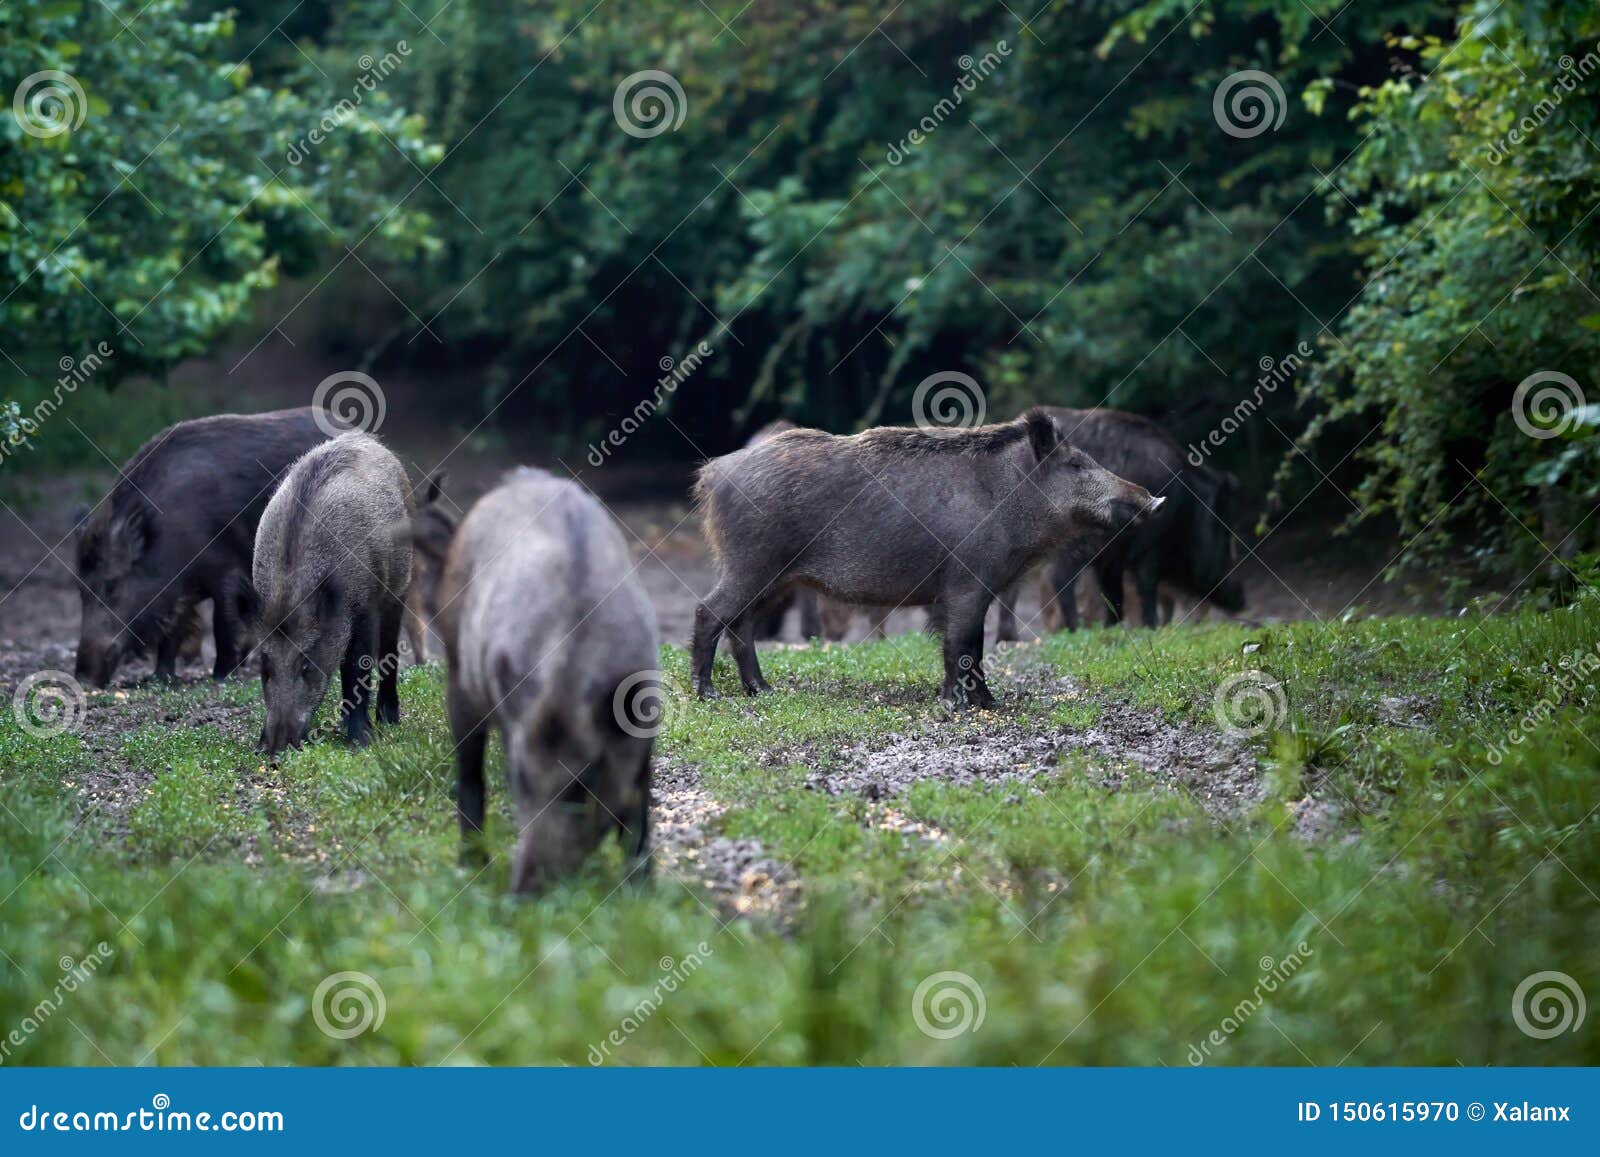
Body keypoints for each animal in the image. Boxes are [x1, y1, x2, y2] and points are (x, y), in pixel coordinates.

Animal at [72, 407, 340, 687]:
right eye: (80, 589)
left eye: (111, 585)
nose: (83, 678)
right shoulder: (179, 591)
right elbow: (174, 631)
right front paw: (159, 678)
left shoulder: (228, 571)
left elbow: (222, 623)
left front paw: (221, 675)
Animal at [248, 432, 413, 754]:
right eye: (264, 667)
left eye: (306, 664)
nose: (274, 750)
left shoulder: (364, 608)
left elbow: (356, 669)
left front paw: (361, 741)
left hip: (400, 588)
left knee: (389, 650)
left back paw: (388, 720)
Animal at [691, 408, 1164, 707]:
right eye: (1076, 465)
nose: (1153, 499)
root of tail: (712, 473)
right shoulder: (966, 582)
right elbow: (960, 643)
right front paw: (962, 706)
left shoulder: (977, 588)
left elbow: (973, 645)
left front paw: (987, 703)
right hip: (751, 563)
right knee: (709, 612)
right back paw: (708, 695)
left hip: (773, 577)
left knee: (742, 625)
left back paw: (764, 691)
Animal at [994, 407, 1245, 637]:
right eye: (1225, 535)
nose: (1242, 600)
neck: (1185, 508)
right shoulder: (1148, 546)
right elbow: (1146, 585)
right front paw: (1151, 628)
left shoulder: (1112, 556)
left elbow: (1113, 591)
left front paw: (1113, 628)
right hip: (1077, 543)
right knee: (1058, 578)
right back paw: (1074, 629)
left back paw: (1009, 639)